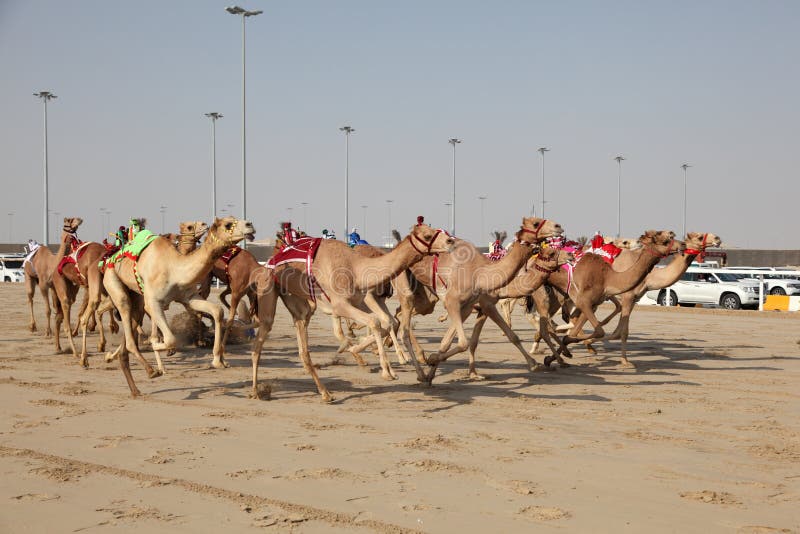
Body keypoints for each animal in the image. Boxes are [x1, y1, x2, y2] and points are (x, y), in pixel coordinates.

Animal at [103, 216, 255, 397]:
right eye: (228, 224)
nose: (250, 225)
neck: (174, 269)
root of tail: (108, 260)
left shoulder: (188, 297)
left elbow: (217, 311)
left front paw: (218, 360)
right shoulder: (153, 302)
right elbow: (170, 339)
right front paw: (157, 347)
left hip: (137, 298)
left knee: (130, 332)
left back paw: (131, 384)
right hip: (113, 282)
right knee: (127, 323)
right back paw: (151, 370)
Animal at [249, 221, 456, 402]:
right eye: (427, 235)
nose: (451, 240)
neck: (356, 268)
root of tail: (270, 261)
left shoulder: (359, 300)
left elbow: (382, 322)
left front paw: (386, 364)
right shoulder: (340, 304)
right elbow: (375, 322)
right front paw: (387, 371)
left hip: (299, 304)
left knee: (303, 348)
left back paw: (325, 393)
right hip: (268, 289)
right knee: (259, 342)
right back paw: (256, 391)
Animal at [583, 232, 722, 366]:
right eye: (699, 237)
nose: (717, 238)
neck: (649, 277)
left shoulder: (634, 298)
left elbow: (619, 330)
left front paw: (591, 344)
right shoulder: (627, 296)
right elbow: (622, 331)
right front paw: (624, 361)